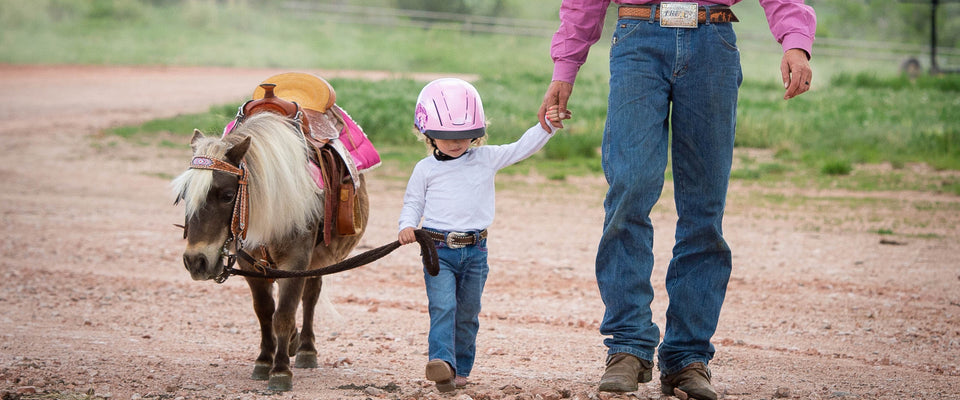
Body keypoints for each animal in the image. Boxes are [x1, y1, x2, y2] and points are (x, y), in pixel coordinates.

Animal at [170, 111, 369, 391]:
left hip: (319, 259)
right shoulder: (251, 265)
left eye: (228, 195)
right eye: (184, 195)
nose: (195, 261)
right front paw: (264, 361)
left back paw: (306, 349)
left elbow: (284, 314)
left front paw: (281, 371)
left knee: (310, 297)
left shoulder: (296, 261)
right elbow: (265, 312)